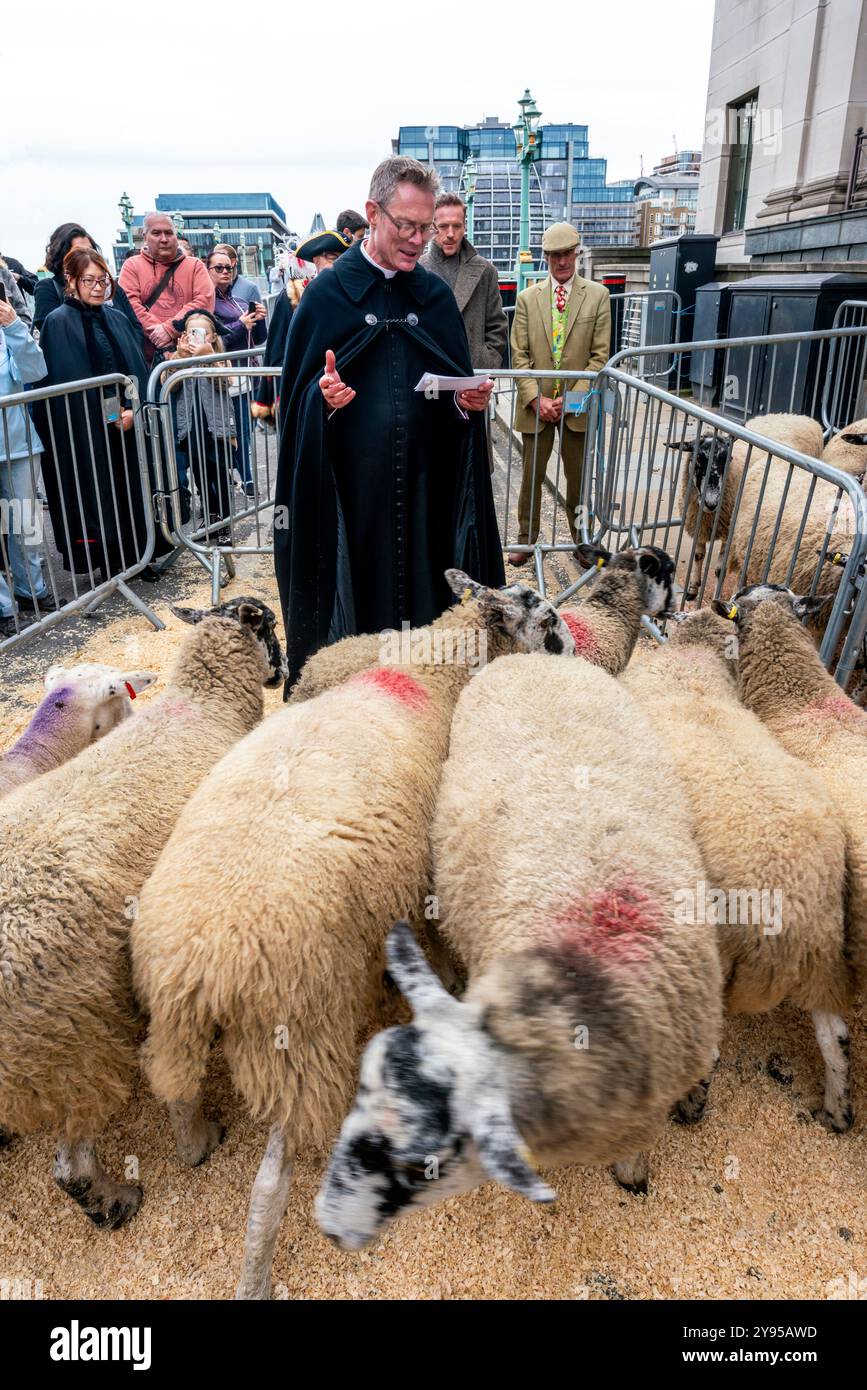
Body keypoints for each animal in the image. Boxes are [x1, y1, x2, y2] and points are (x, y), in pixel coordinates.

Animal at [129, 569, 577, 1300]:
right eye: (546, 622)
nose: (576, 660)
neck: (426, 675)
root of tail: (202, 972)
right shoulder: (422, 865)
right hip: (296, 1037)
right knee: (269, 1185)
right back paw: (257, 1276)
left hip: (177, 1026)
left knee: (173, 1088)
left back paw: (195, 1144)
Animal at [620, 611, 852, 1130]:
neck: (693, 668)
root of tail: (787, 911)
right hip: (825, 960)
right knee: (837, 1038)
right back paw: (838, 1111)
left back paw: (691, 1104)